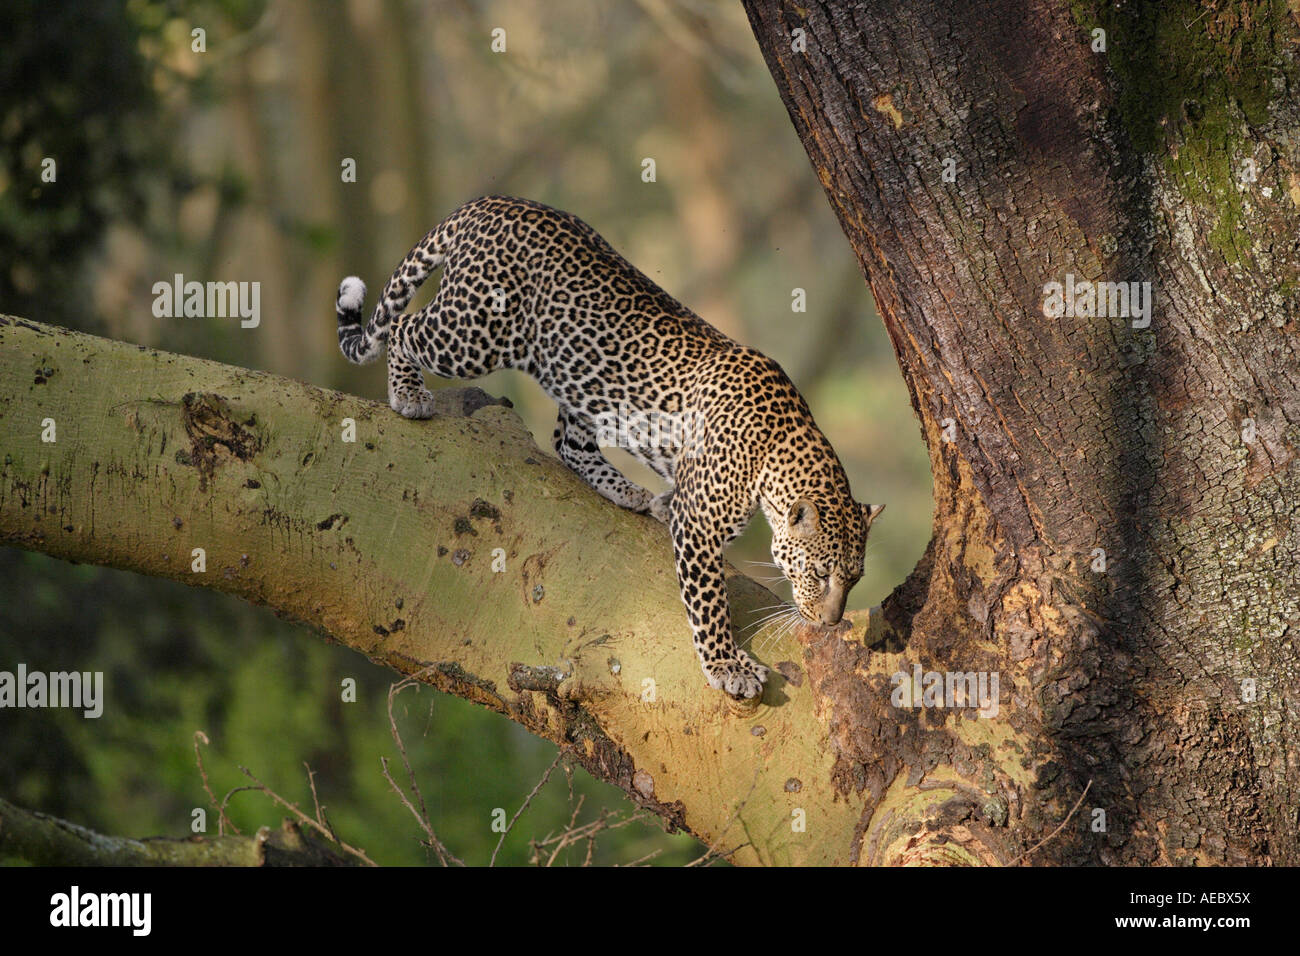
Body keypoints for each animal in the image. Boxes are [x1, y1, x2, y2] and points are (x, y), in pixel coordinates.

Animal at [335, 196, 884, 700]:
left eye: (855, 579)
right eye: (820, 573)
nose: (831, 622)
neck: (776, 454)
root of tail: (491, 202)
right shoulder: (699, 527)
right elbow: (709, 603)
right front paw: (727, 667)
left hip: (579, 377)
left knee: (567, 441)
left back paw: (632, 493)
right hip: (474, 334)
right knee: (403, 328)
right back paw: (407, 395)